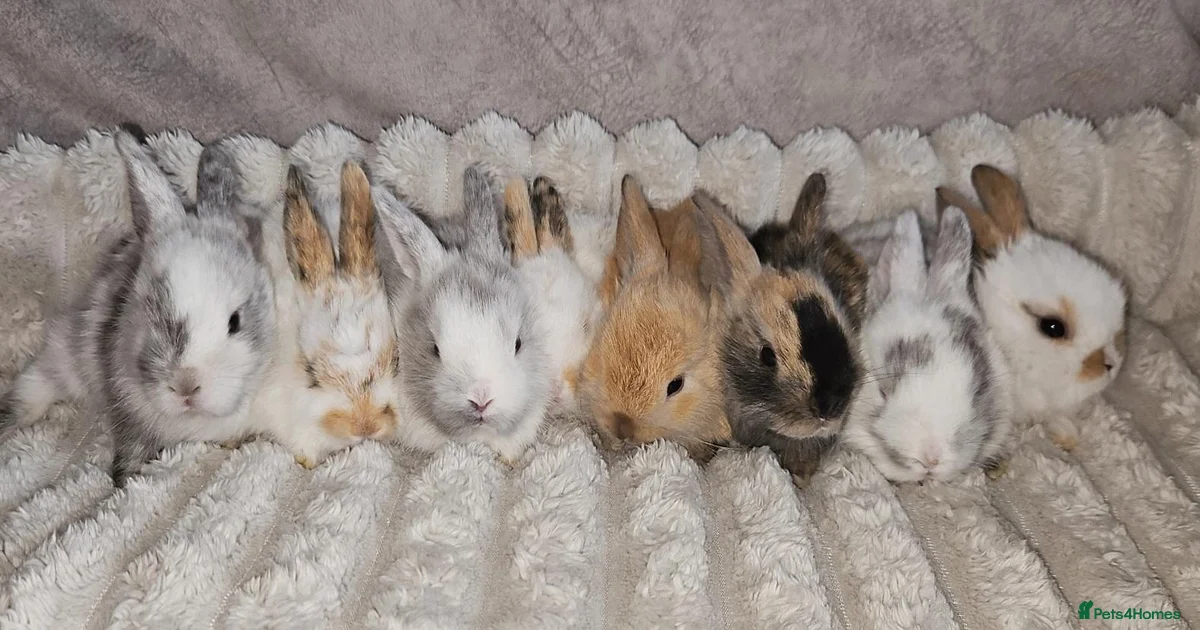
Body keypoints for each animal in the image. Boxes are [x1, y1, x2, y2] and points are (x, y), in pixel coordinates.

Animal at [0, 128, 275, 486]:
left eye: (235, 321)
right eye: (148, 311)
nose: (185, 386)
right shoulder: (127, 410)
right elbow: (130, 449)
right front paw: (125, 481)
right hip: (61, 356)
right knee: (31, 393)